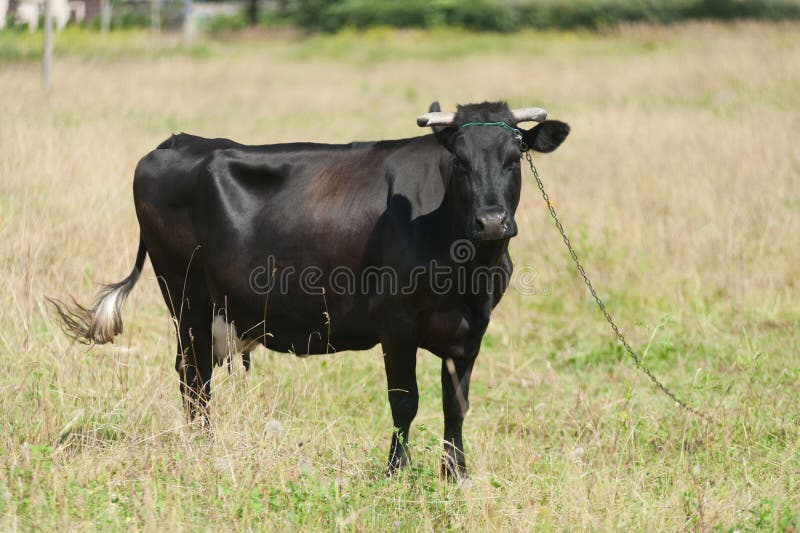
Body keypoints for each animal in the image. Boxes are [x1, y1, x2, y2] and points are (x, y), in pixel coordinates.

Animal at [51, 101, 569, 479]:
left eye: (514, 158)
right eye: (459, 162)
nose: (492, 222)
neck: (467, 266)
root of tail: (175, 141)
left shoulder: (471, 329)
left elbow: (455, 404)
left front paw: (455, 473)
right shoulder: (397, 323)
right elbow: (405, 400)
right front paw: (397, 471)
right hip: (184, 294)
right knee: (193, 375)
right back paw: (203, 446)